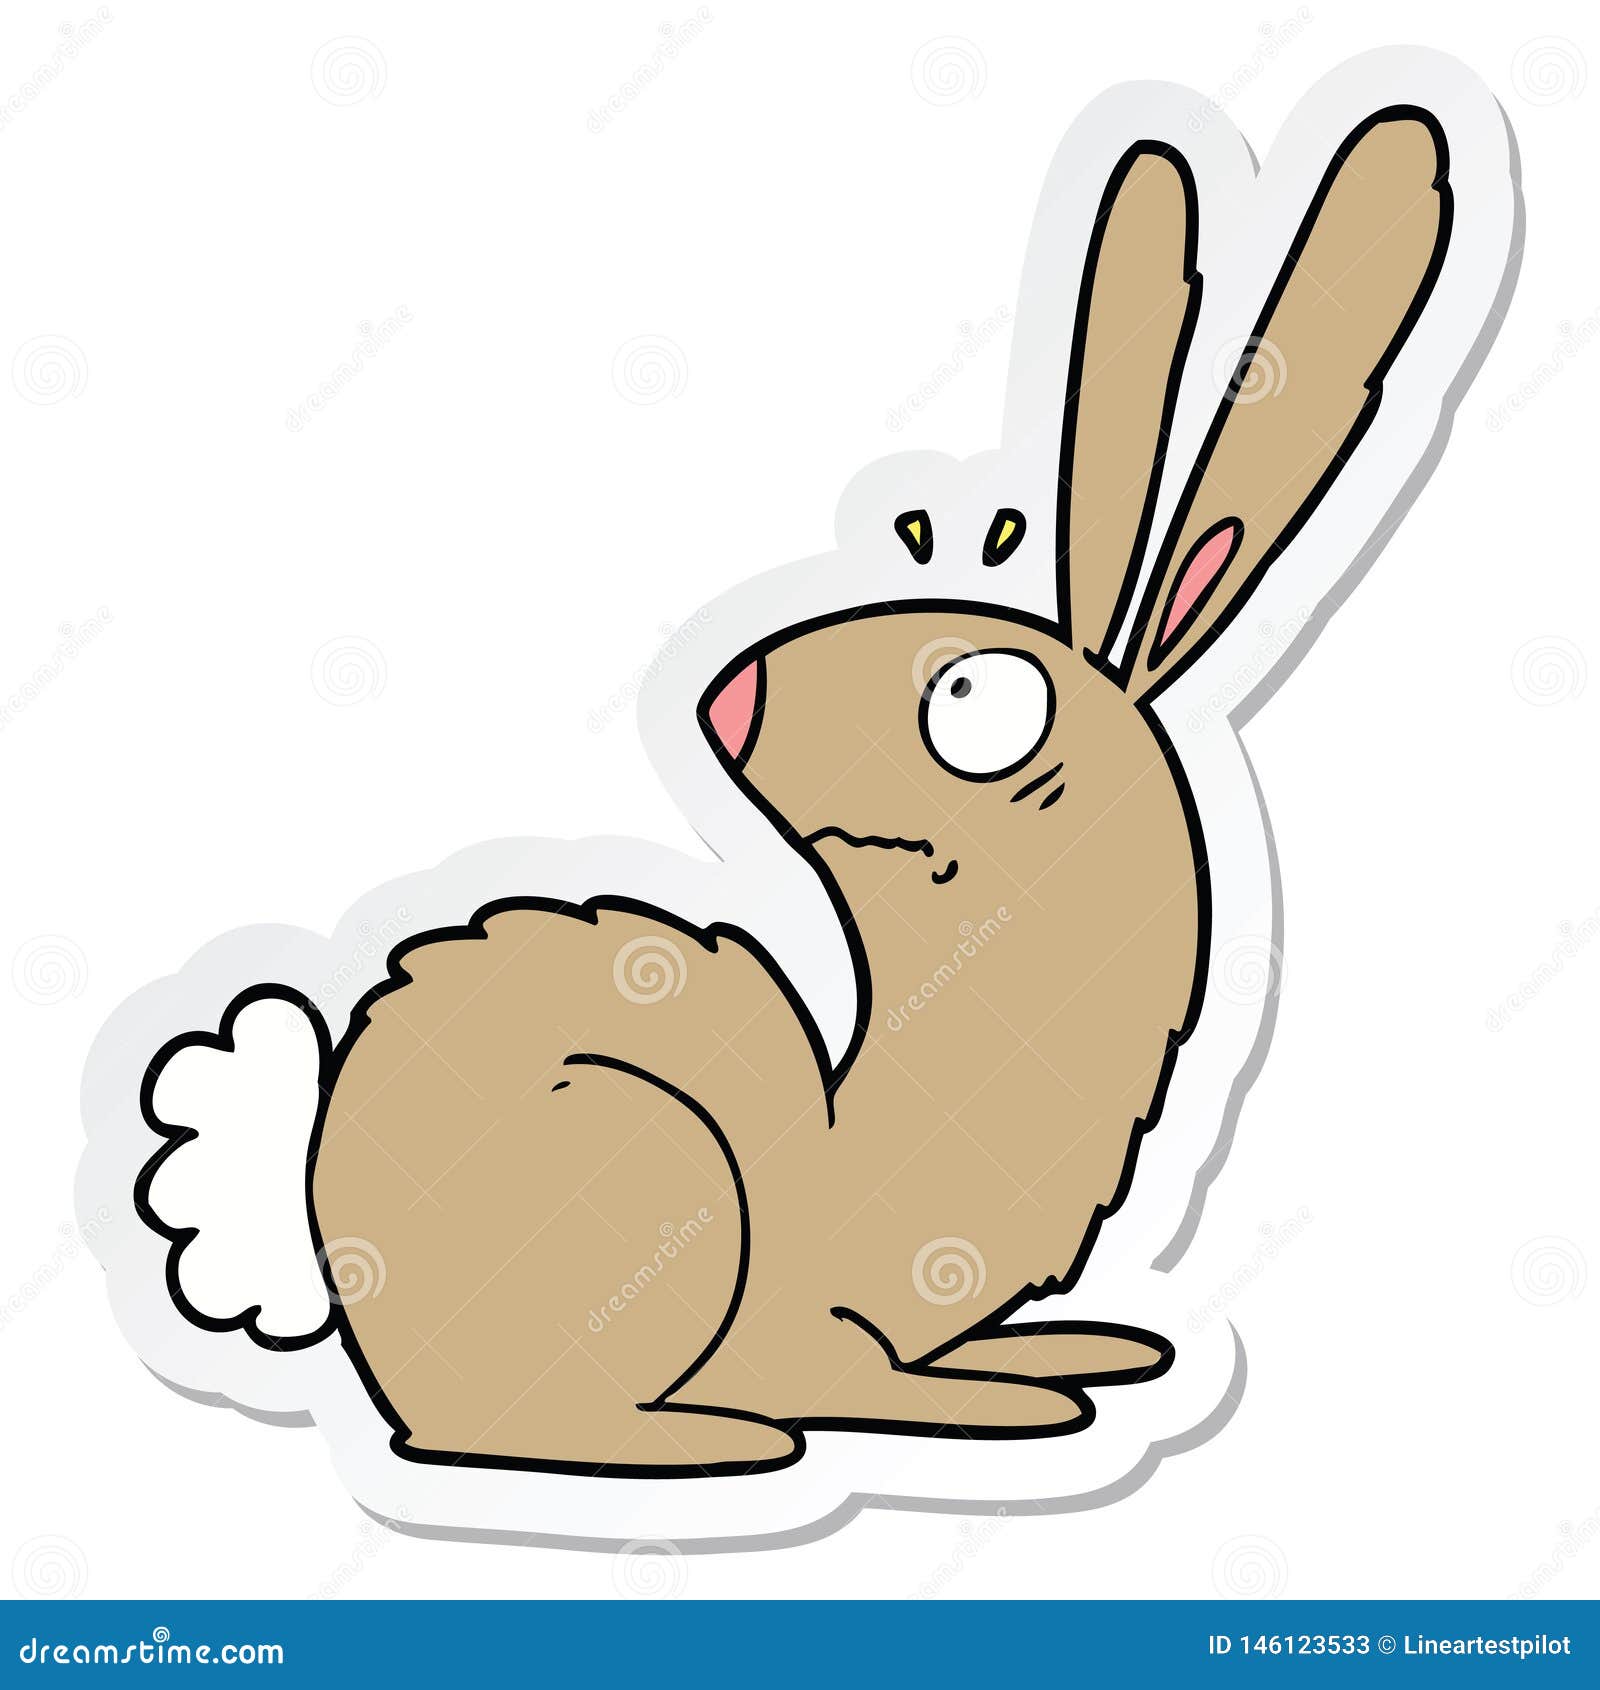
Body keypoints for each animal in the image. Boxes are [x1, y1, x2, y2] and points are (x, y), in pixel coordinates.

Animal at [139, 106, 1458, 1479]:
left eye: (971, 697)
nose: (730, 693)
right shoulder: (816, 1330)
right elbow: (872, 1376)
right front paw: (1007, 1406)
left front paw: (1070, 1349)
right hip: (639, 1167)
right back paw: (707, 1437)